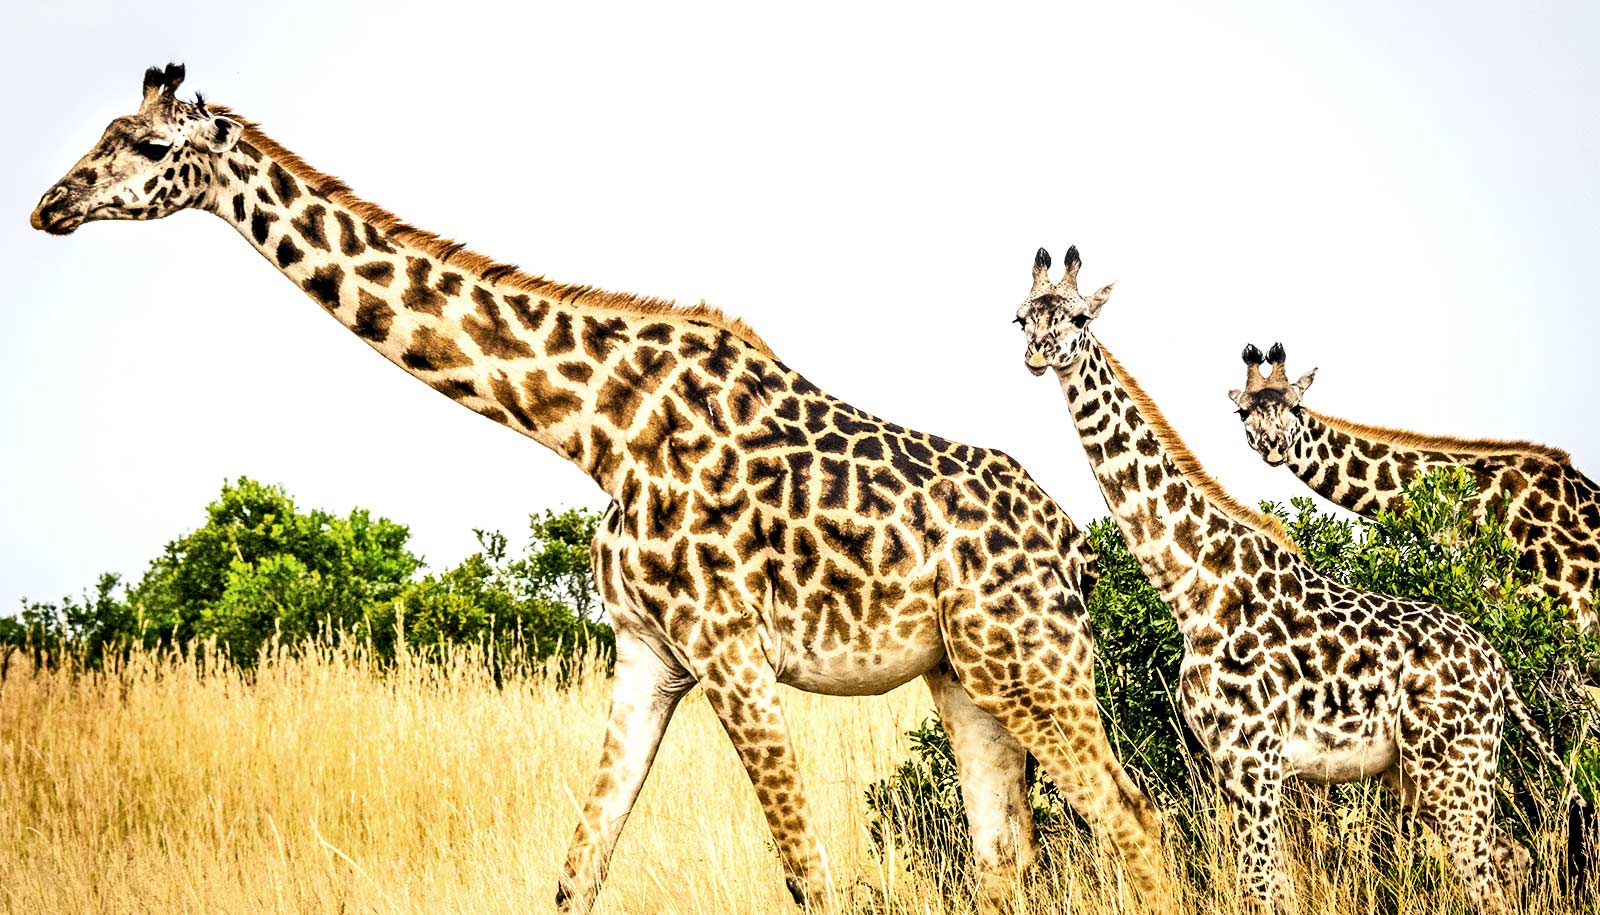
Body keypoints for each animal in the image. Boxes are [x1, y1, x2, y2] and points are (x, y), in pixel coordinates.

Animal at [29, 65, 1167, 912]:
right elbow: (579, 868)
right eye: (103, 131)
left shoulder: (731, 651)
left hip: (1036, 665)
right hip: (965, 676)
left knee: (1133, 815)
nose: (51, 206)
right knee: (1004, 853)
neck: (591, 427)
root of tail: (1078, 547)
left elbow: (808, 874)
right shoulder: (646, 657)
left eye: (146, 148)